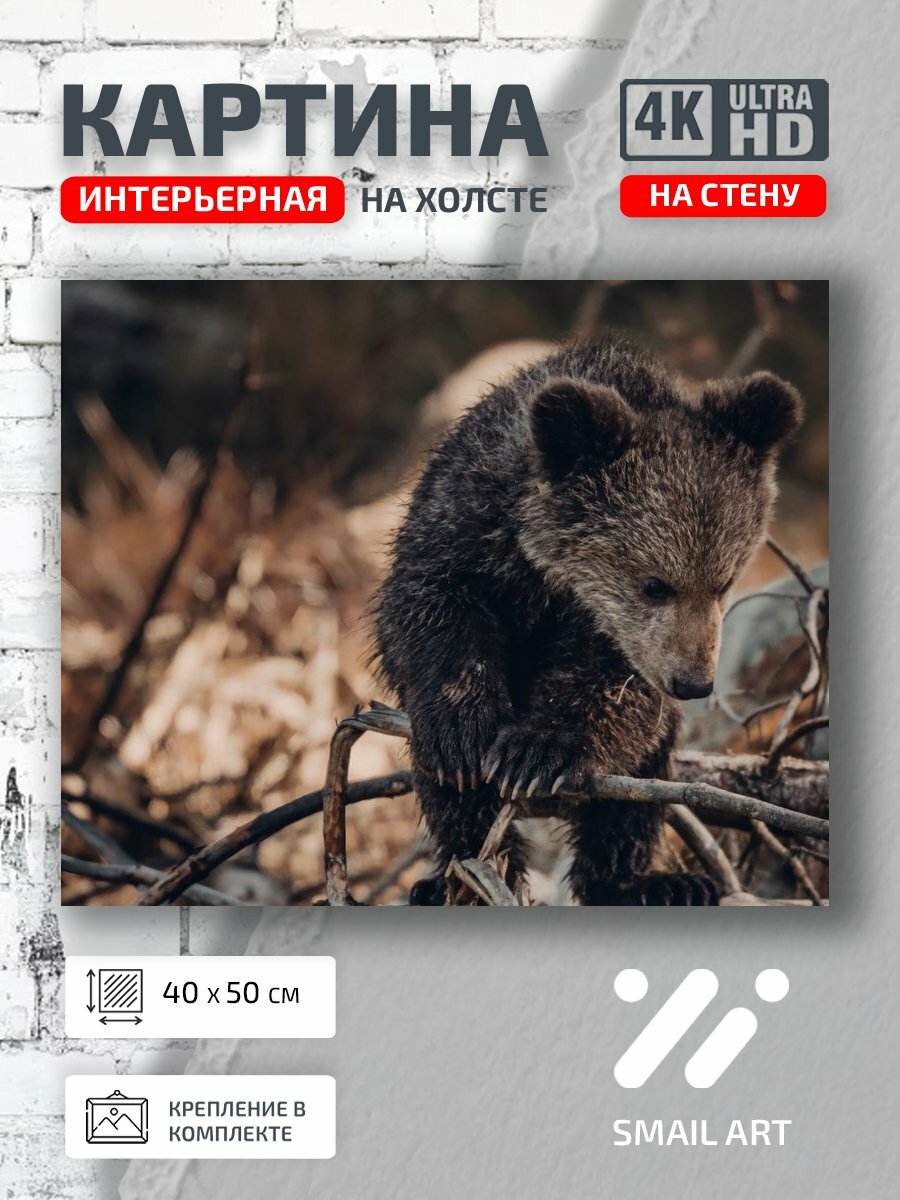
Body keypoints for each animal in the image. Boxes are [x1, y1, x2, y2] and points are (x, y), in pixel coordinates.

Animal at [373, 339, 803, 905]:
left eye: (724, 581)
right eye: (655, 583)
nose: (693, 682)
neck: (552, 573)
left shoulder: (619, 645)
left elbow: (615, 694)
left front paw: (537, 752)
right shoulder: (461, 531)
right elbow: (425, 614)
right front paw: (461, 732)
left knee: (632, 795)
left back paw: (649, 883)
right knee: (452, 800)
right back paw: (459, 876)